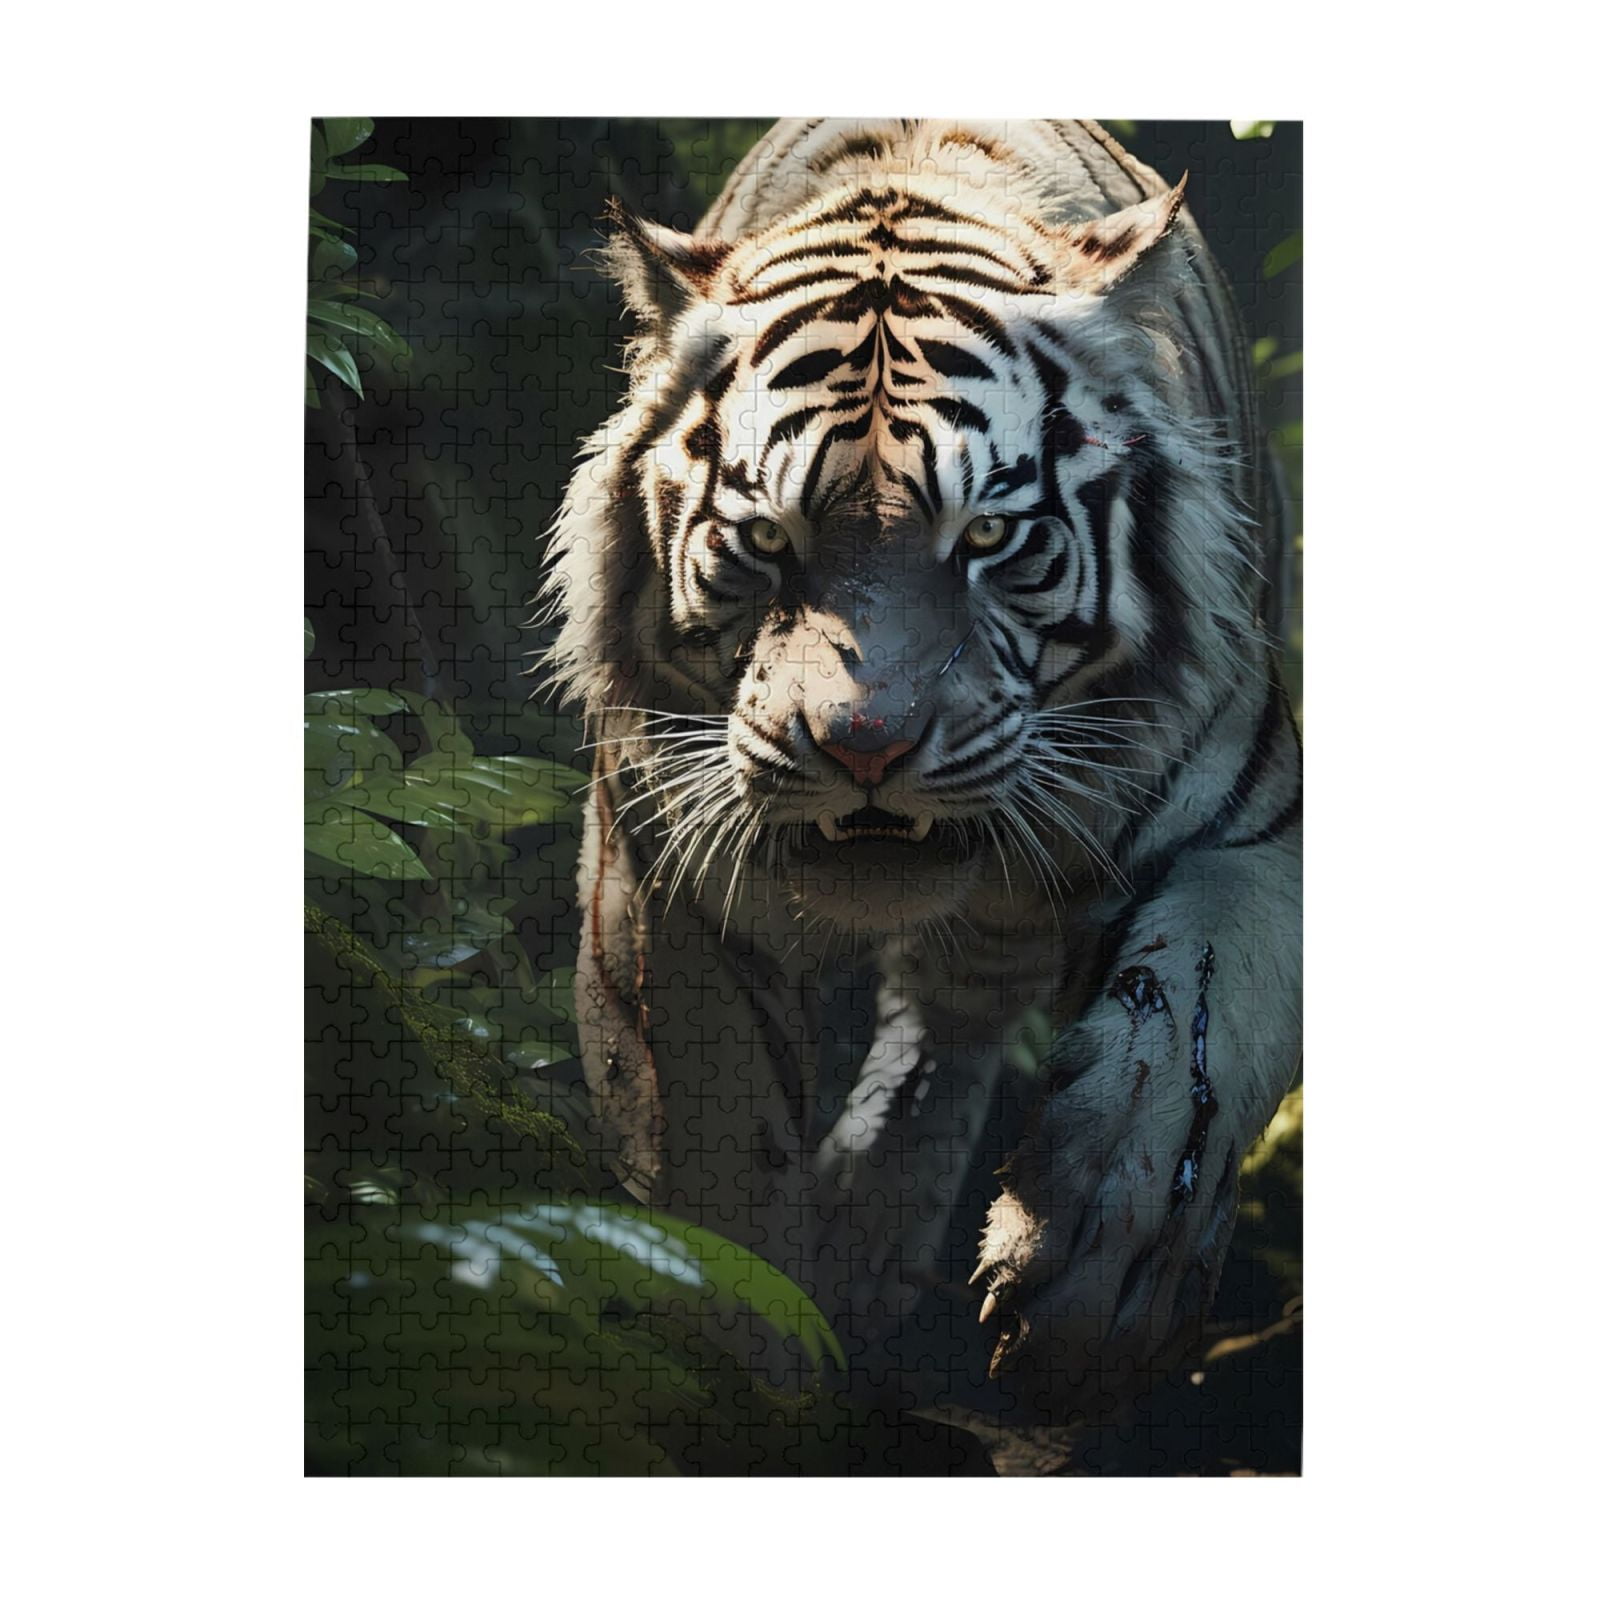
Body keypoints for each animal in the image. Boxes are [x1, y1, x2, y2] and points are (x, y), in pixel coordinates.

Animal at [540, 118, 1301, 1418]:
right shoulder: (663, 860)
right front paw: (750, 1355)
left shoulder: (1253, 834)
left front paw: (1098, 1277)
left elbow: (1186, 1025)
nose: (865, 744)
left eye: (988, 536)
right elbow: (716, 1130)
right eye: (765, 539)